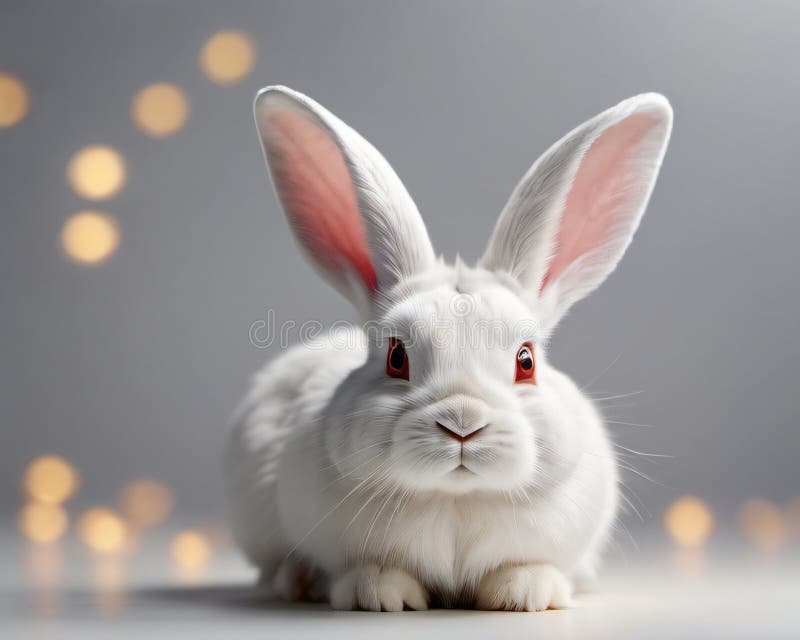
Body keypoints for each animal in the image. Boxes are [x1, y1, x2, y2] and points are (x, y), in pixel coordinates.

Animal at [224, 85, 672, 611]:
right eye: (397, 357)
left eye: (526, 361)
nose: (463, 424)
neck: (457, 498)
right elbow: (369, 569)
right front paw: (381, 595)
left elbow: (526, 566)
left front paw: (525, 594)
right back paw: (296, 582)